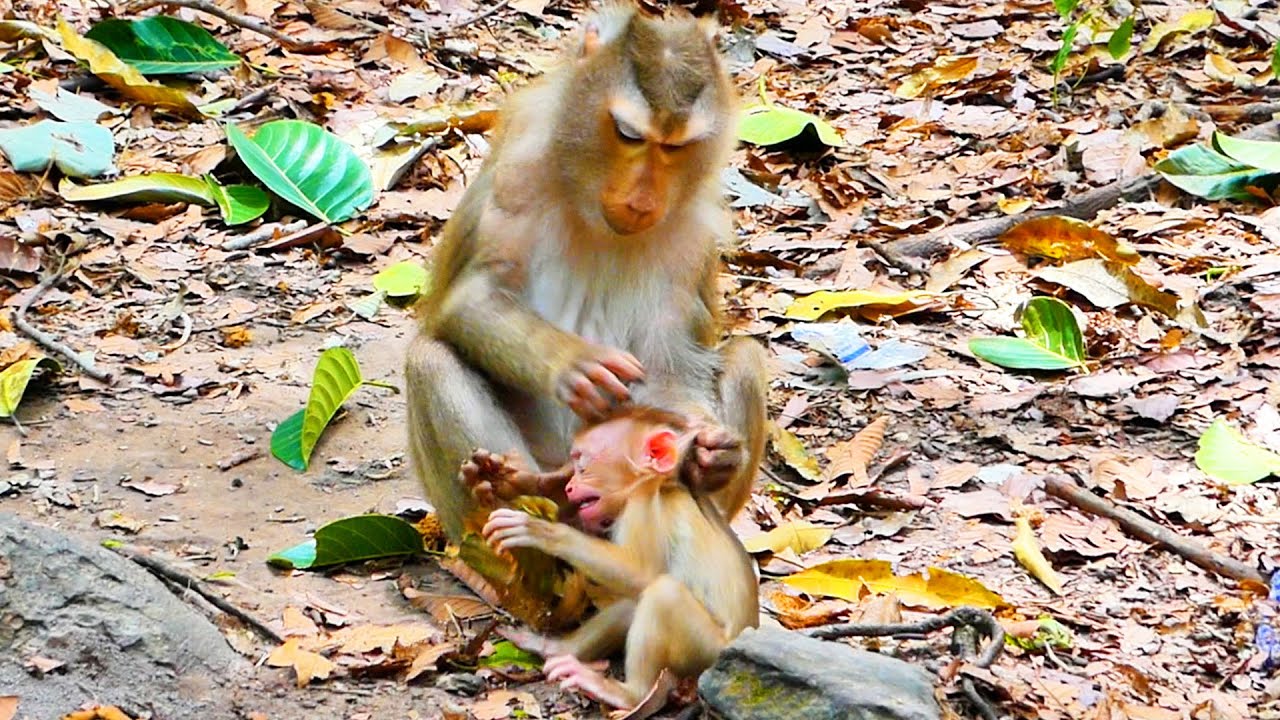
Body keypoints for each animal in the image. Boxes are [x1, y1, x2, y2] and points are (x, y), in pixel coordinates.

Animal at [404, 3, 770, 556]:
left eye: (675, 147)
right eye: (629, 135)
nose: (642, 201)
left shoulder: (694, 223)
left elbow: (668, 350)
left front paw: (711, 458)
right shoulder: (520, 166)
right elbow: (474, 295)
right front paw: (574, 364)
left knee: (746, 356)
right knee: (429, 359)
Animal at [482, 406, 759, 714]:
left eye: (582, 466)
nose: (569, 486)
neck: (656, 484)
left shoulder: (641, 503)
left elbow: (642, 572)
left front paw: (542, 532)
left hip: (706, 651)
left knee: (663, 593)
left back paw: (629, 695)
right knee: (633, 602)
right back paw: (557, 649)